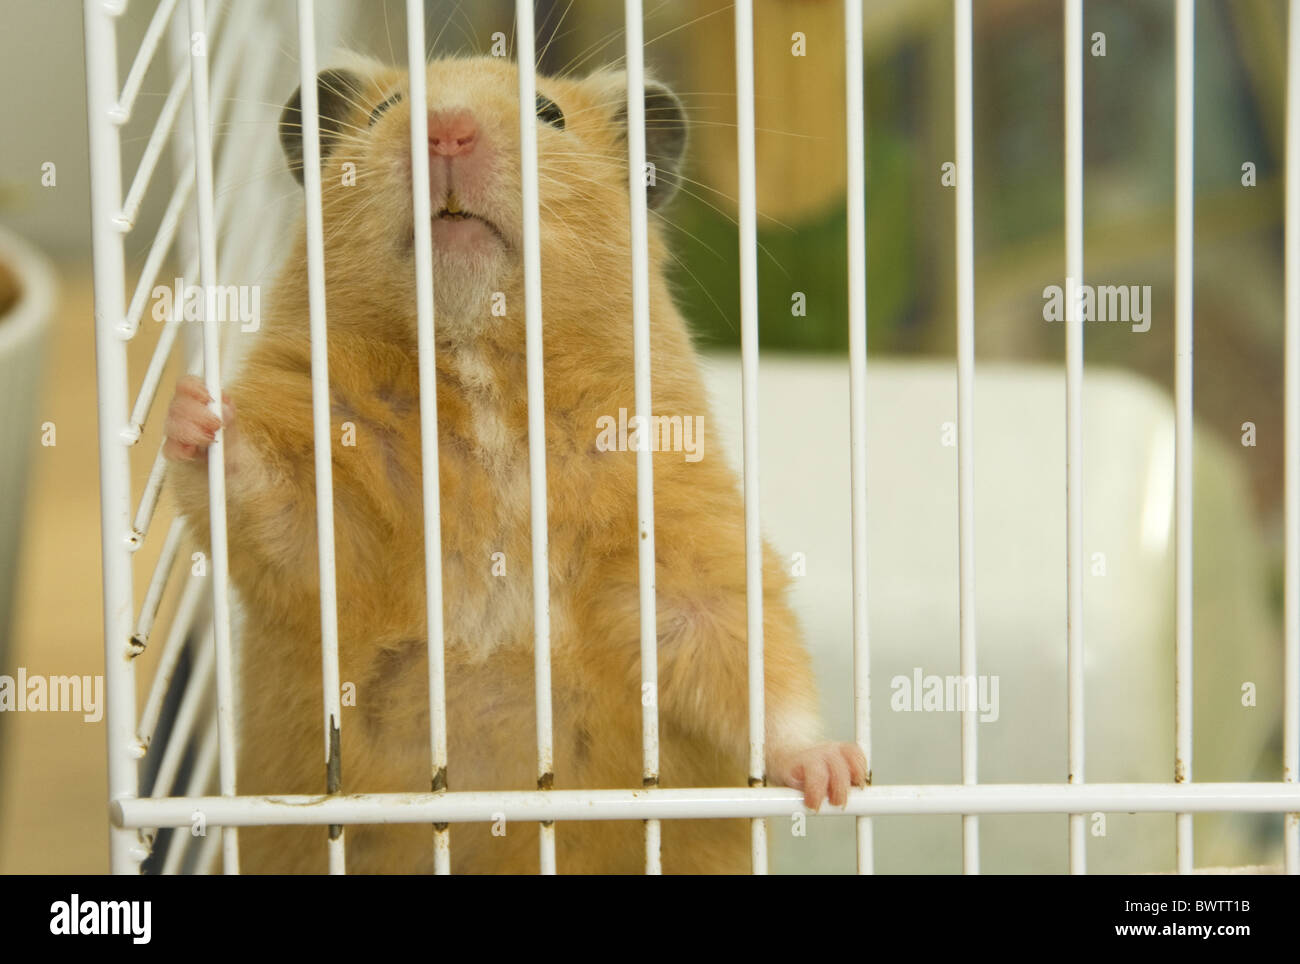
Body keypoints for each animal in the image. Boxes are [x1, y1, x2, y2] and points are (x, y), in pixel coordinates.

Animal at [162, 54, 866, 874]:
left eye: (546, 114)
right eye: (386, 110)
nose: (446, 129)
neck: (479, 365)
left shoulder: (680, 524)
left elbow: (745, 651)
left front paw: (835, 775)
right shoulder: (330, 523)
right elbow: (272, 505)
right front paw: (190, 407)